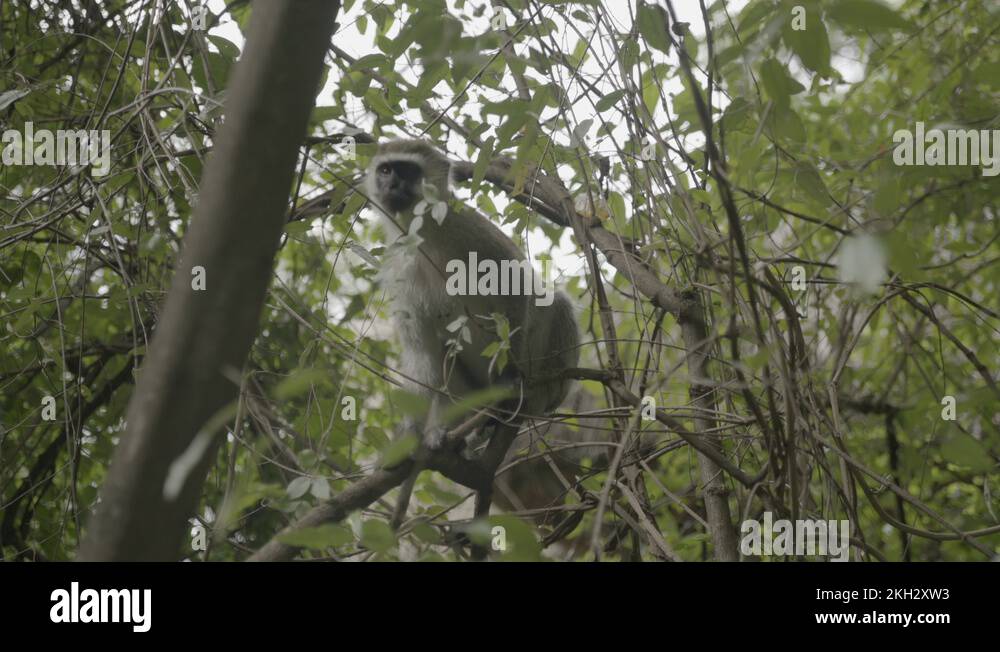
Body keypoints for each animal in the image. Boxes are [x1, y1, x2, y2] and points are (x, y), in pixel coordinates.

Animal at [363, 139, 580, 530]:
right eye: (385, 170)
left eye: (408, 171)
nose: (392, 185)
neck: (423, 233)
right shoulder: (400, 268)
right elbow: (423, 352)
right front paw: (410, 435)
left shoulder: (469, 229)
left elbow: (516, 285)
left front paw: (509, 378)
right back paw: (448, 434)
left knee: (554, 303)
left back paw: (530, 395)